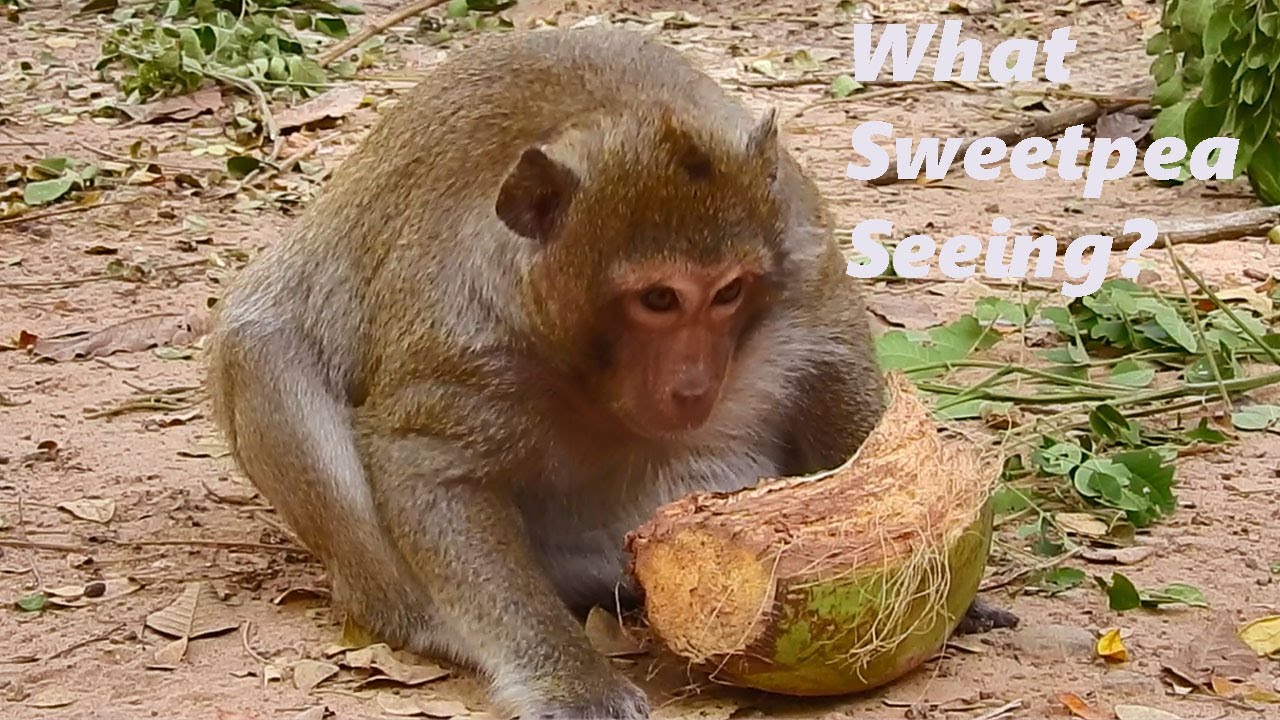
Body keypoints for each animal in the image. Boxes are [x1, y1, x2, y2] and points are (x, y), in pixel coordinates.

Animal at [206, 26, 1012, 720]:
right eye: (658, 299)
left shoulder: (803, 262)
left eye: (727, 292)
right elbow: (429, 471)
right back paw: (423, 621)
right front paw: (570, 677)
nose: (693, 383)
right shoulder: (470, 340)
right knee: (265, 354)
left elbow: (846, 398)